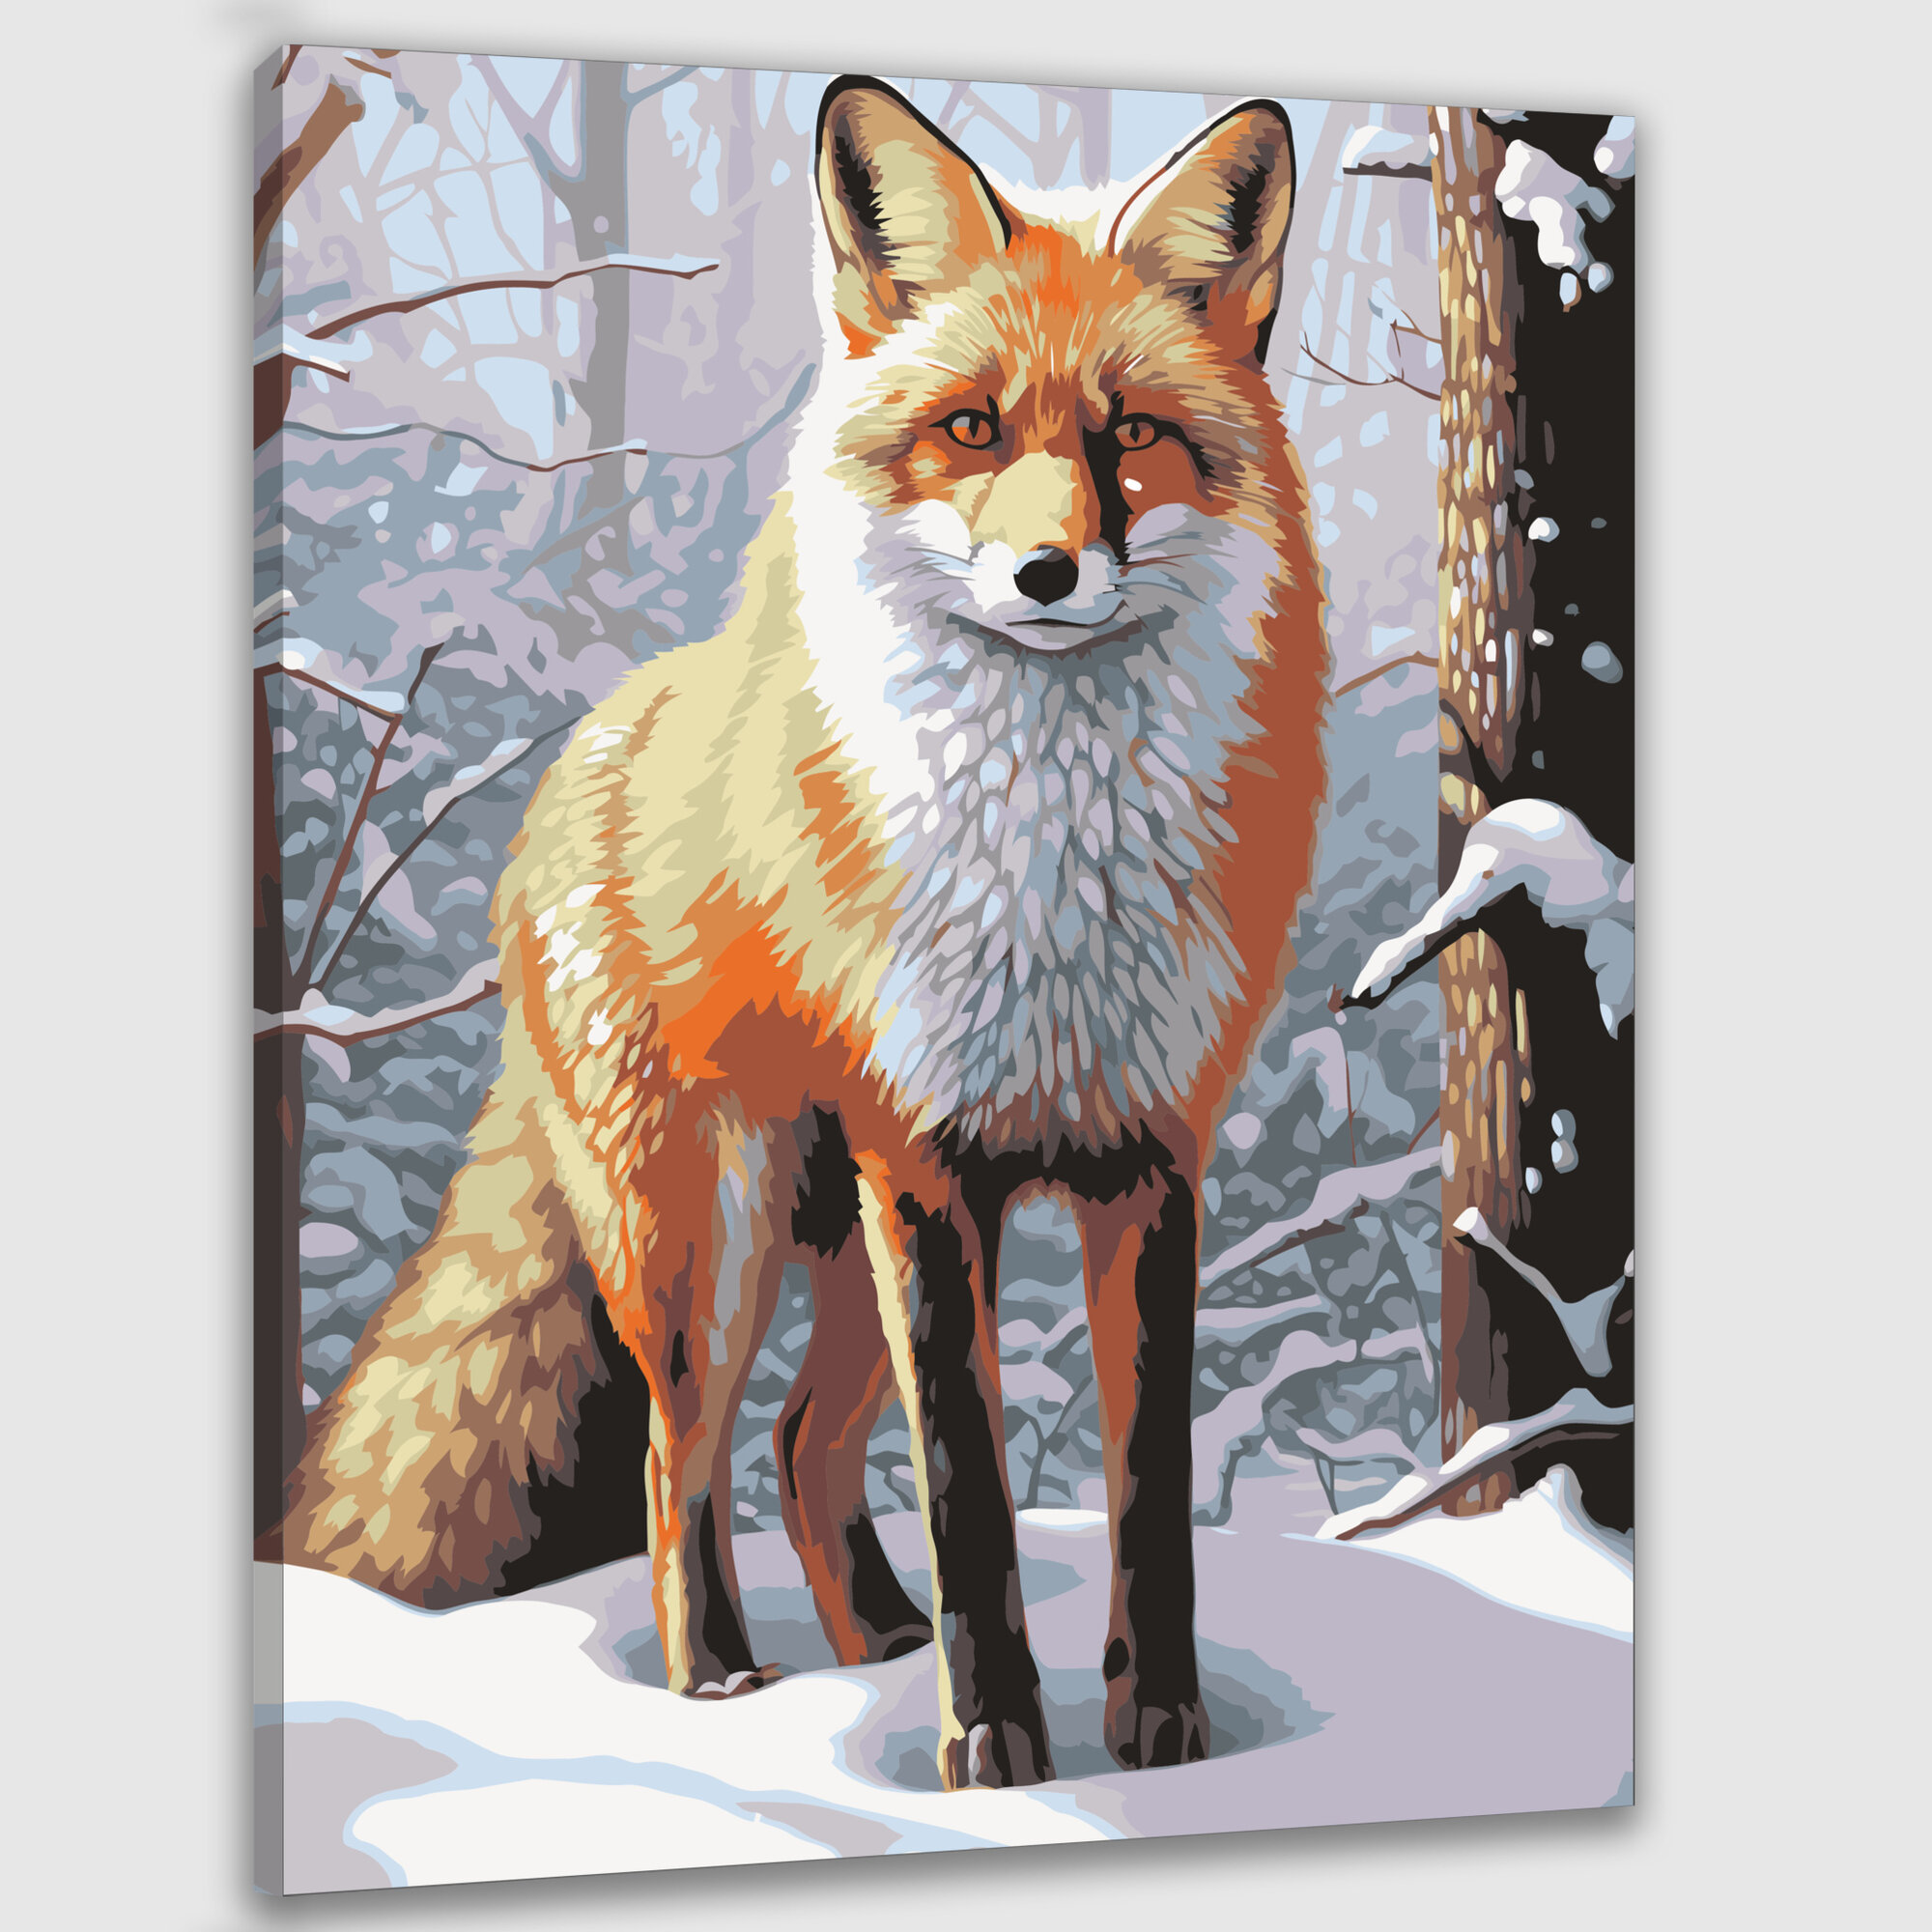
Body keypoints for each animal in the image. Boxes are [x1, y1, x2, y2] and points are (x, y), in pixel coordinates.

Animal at [275, 76, 1328, 1791]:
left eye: (1132, 436)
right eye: (971, 429)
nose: (1049, 572)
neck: (1052, 876)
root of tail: (596, 736)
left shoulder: (1152, 1160)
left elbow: (1150, 1492)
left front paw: (1161, 1731)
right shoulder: (935, 1166)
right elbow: (971, 1490)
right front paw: (997, 1746)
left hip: (827, 1242)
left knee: (795, 1443)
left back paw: (874, 1645)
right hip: (709, 1237)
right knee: (679, 1452)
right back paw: (718, 1675)